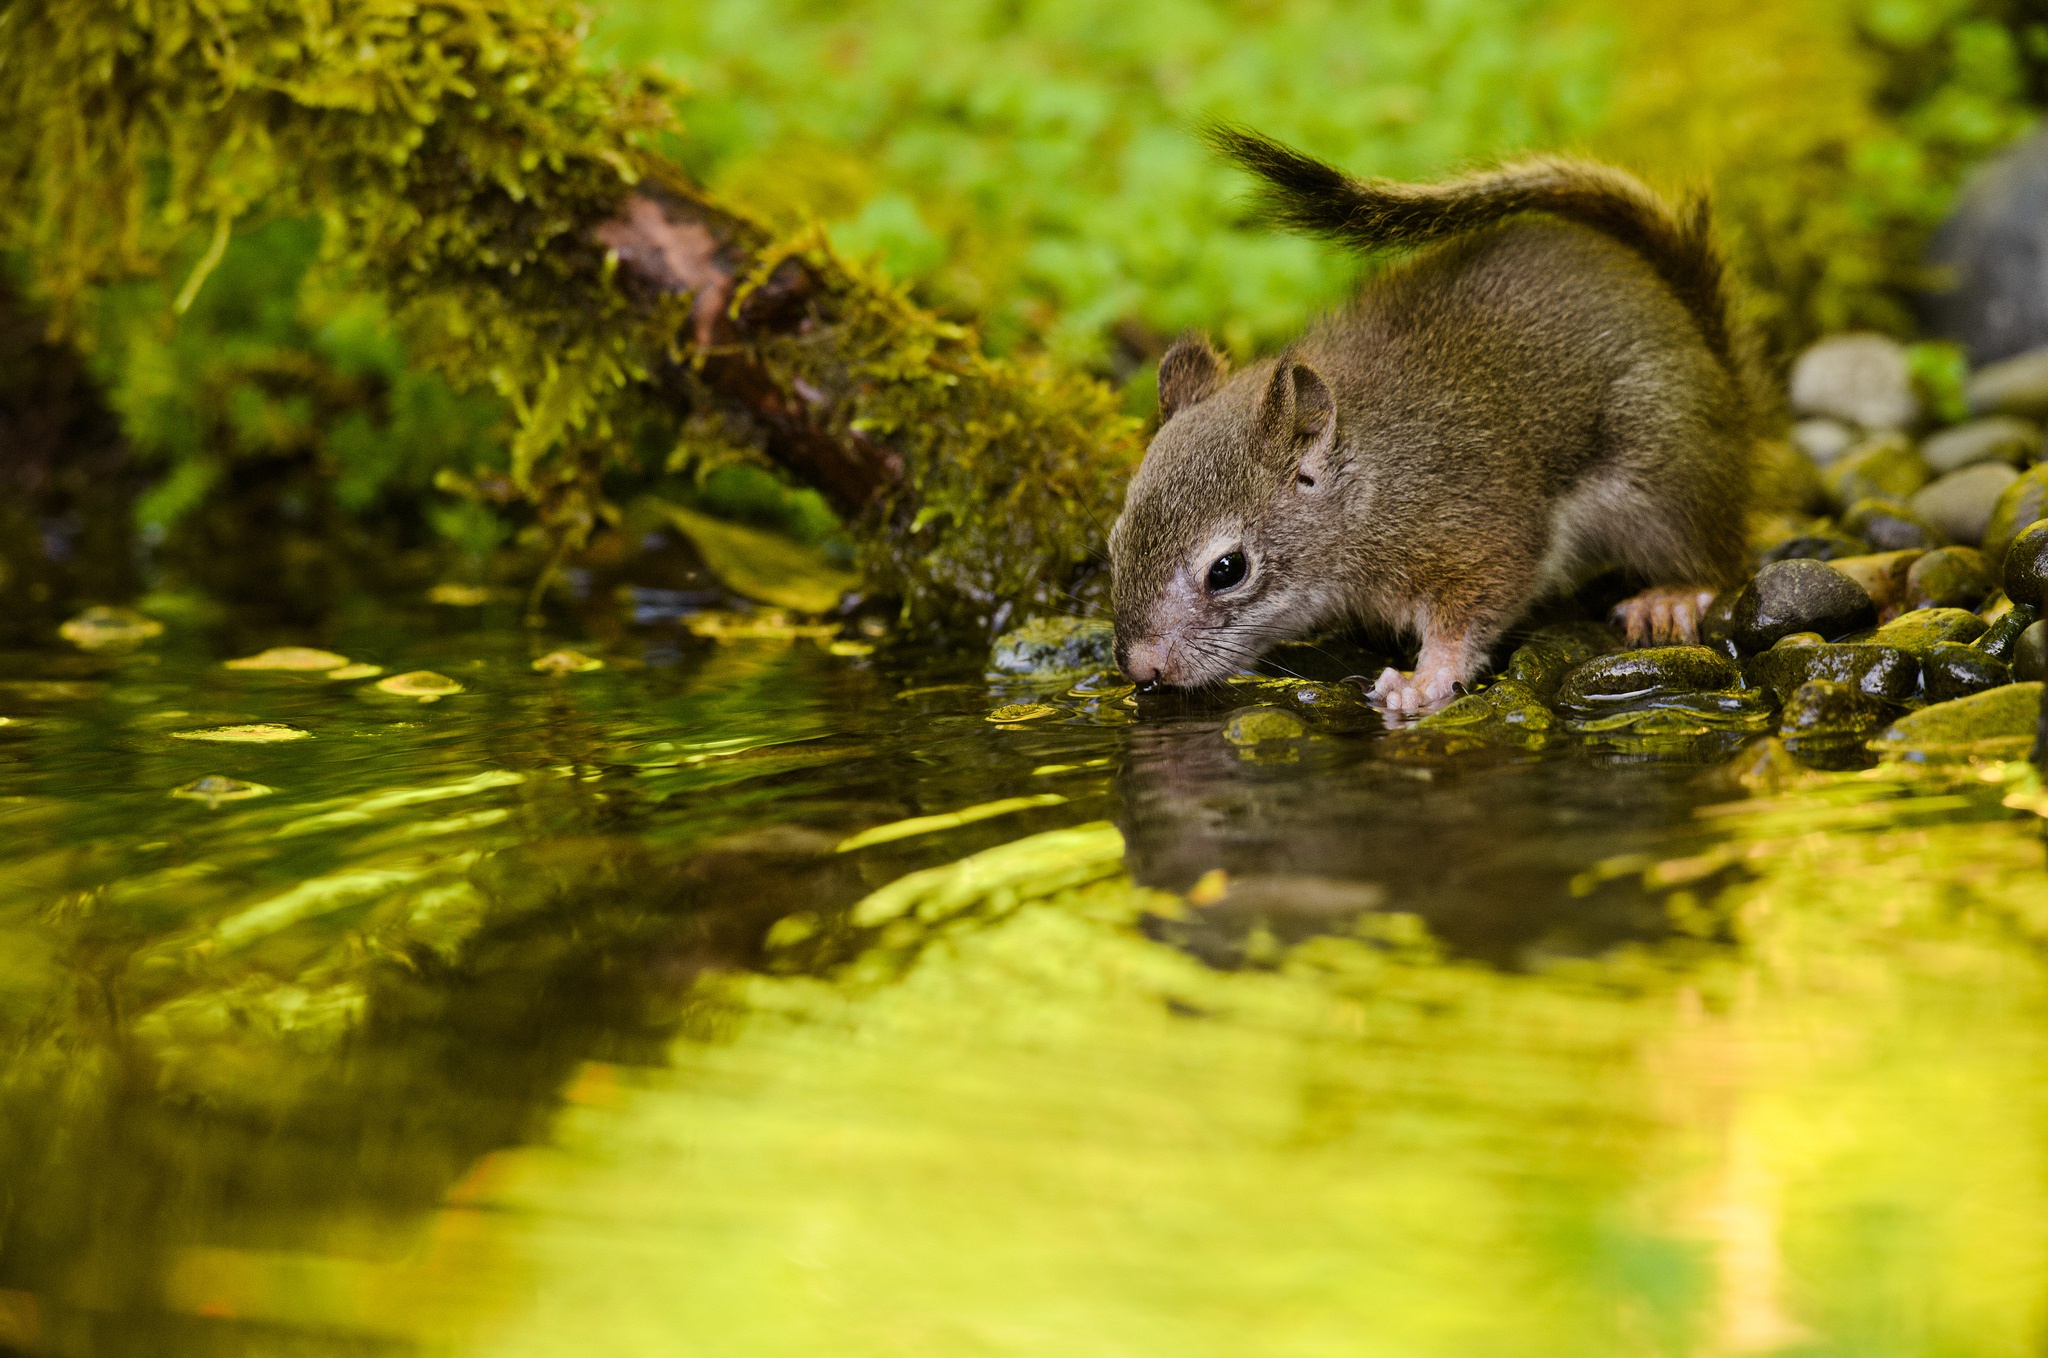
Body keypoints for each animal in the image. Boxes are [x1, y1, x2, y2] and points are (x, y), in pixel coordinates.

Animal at [1109, 125, 1761, 715]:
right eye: (1114, 542)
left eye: (1227, 570)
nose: (1142, 668)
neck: (1370, 482)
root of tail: (1722, 375)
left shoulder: (1472, 529)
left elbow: (1469, 612)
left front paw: (1425, 680)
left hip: (1665, 480)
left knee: (1717, 557)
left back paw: (1672, 596)